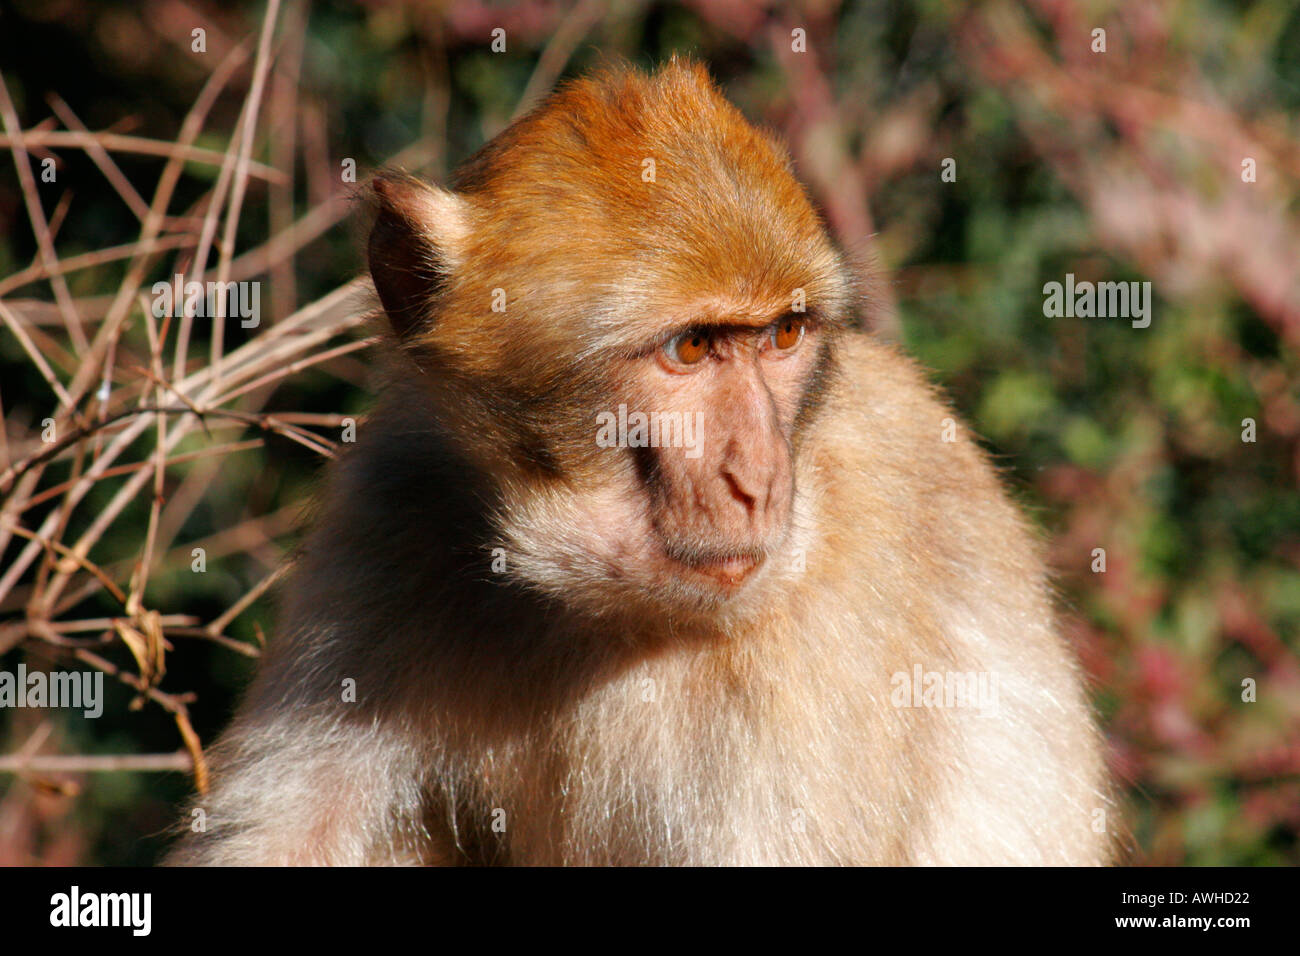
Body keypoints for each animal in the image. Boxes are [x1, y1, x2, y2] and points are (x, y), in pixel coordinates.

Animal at [167, 59, 1113, 866]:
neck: (603, 609)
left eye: (782, 336)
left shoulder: (822, 627)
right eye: (690, 347)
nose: (760, 482)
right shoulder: (394, 507)